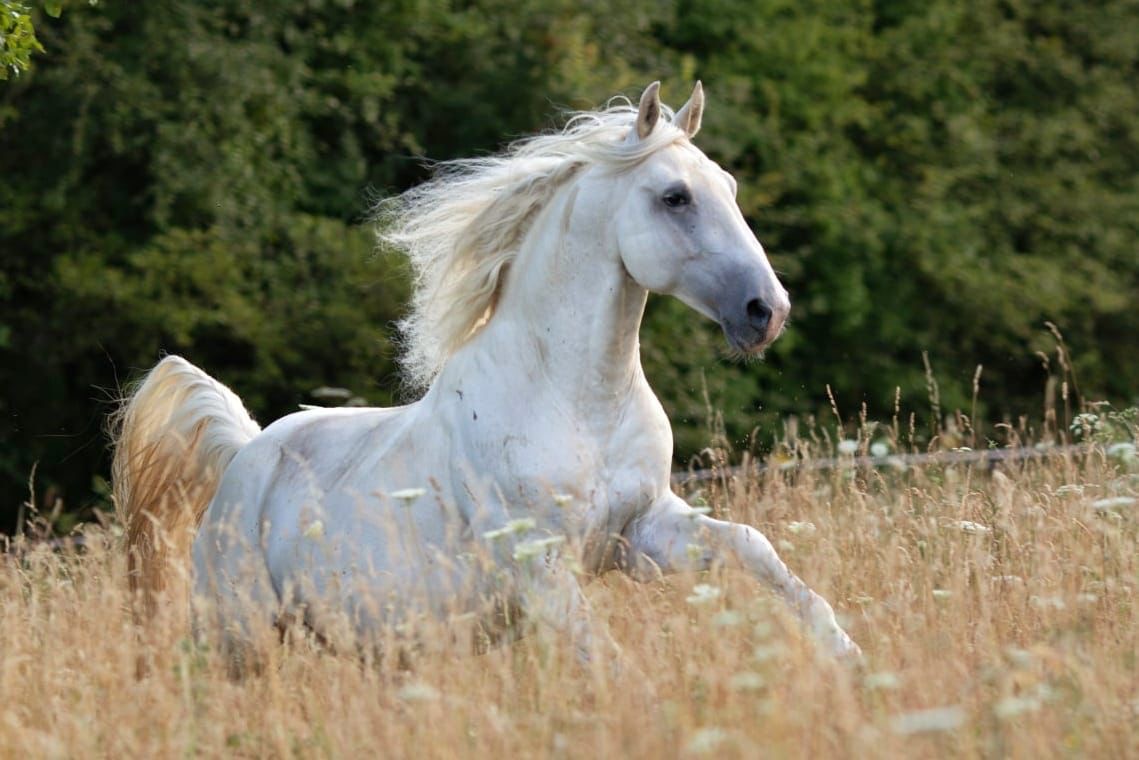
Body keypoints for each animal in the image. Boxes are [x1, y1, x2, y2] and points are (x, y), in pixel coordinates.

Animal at [112, 81, 861, 667]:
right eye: (674, 197)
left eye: (728, 187)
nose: (766, 310)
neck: (575, 403)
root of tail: (243, 456)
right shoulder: (540, 569)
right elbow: (605, 661)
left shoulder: (642, 530)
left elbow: (753, 549)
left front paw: (849, 658)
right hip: (239, 637)